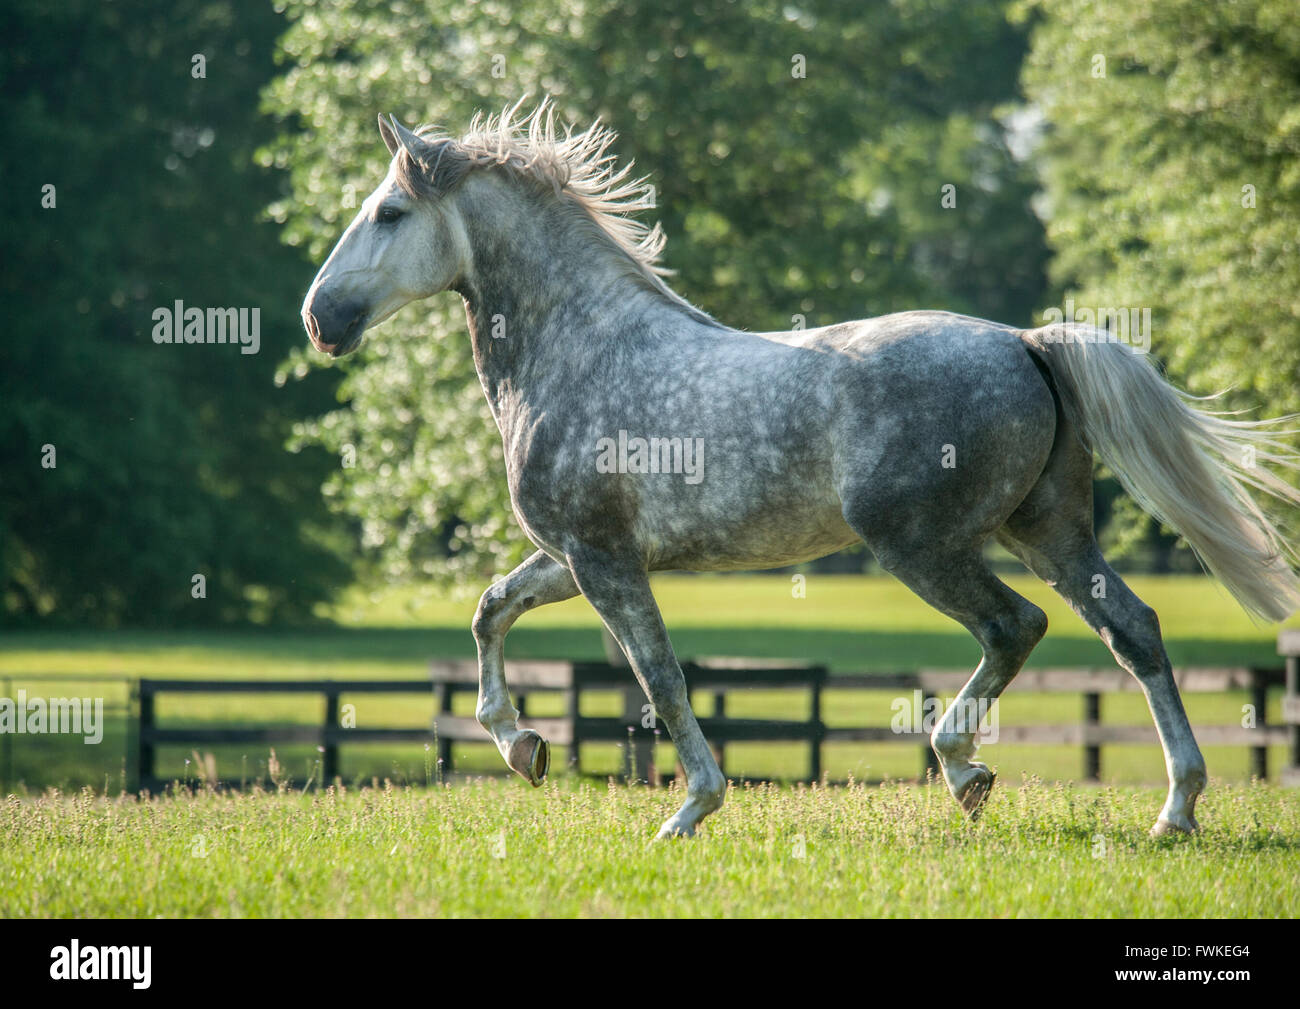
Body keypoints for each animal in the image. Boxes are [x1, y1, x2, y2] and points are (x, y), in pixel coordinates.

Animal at [301, 99, 1300, 839]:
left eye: (388, 213)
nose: (319, 318)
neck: (580, 347)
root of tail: (1025, 341)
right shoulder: (574, 555)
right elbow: (491, 609)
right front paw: (525, 748)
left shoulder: (602, 560)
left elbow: (659, 676)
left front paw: (688, 812)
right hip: (1047, 529)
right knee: (1132, 629)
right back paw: (1176, 810)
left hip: (919, 543)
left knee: (1016, 625)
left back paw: (966, 770)